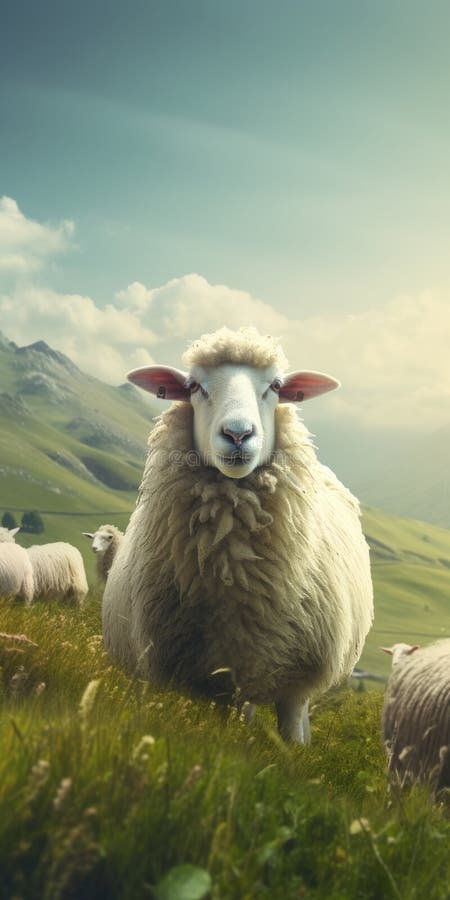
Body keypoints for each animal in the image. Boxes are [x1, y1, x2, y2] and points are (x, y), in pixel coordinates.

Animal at [102, 326, 374, 743]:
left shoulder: (297, 688)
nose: (237, 433)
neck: (233, 571)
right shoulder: (195, 677)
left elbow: (293, 737)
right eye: (194, 386)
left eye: (276, 386)